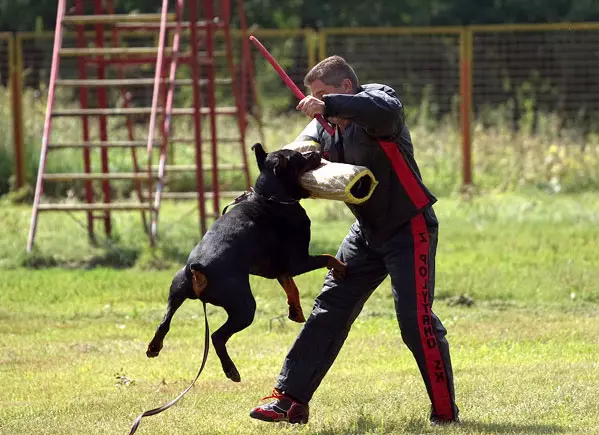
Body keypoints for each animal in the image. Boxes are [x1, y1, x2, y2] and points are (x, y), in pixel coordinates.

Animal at [146, 143, 350, 382]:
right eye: (299, 158)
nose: (318, 152)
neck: (270, 197)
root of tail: (198, 268)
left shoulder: (279, 269)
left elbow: (291, 287)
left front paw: (296, 311)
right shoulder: (297, 262)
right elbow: (327, 257)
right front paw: (341, 268)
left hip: (177, 288)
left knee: (164, 322)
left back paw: (154, 347)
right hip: (244, 307)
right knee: (217, 336)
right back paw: (231, 370)